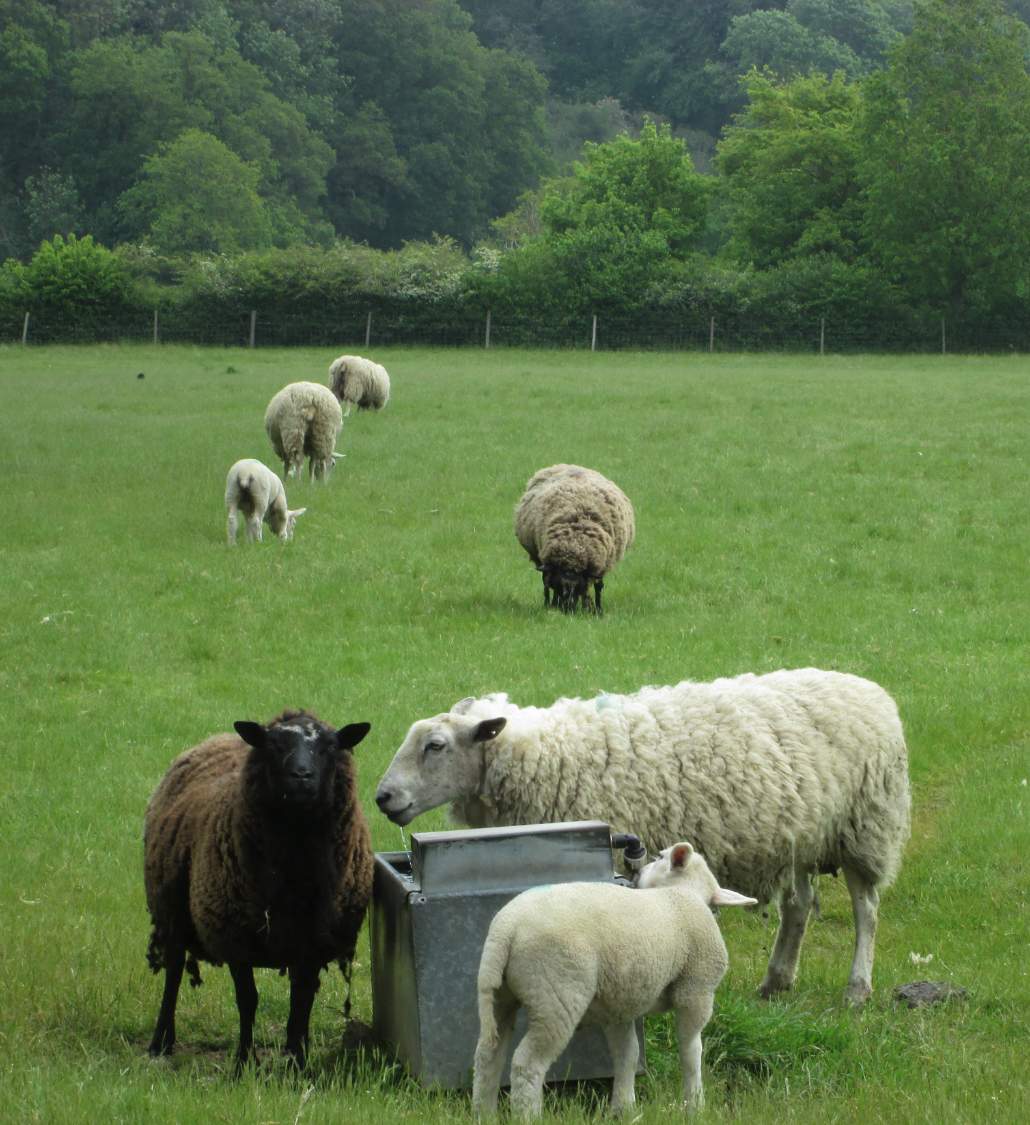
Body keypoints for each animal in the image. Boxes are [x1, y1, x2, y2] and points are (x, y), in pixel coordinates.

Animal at [144, 709, 374, 1069]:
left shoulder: (312, 942)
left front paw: (297, 1063)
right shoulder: (235, 937)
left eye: (330, 747)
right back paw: (160, 1043)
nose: (302, 776)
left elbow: (301, 1001)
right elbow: (247, 1000)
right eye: (275, 745)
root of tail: (216, 738)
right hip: (172, 912)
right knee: (174, 974)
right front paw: (243, 1063)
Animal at [375, 668, 911, 1005]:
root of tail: (871, 689)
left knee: (866, 911)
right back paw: (775, 982)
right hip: (800, 837)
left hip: (865, 829)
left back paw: (857, 988)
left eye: (435, 746)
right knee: (798, 907)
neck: (543, 755)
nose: (383, 797)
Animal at [473, 841, 757, 1118]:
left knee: (488, 1056)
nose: (637, 873)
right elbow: (691, 1051)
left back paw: (484, 1114)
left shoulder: (619, 1003)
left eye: (659, 857)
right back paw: (529, 1116)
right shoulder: (696, 992)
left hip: (500, 994)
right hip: (556, 994)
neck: (682, 893)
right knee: (527, 1064)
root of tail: (506, 929)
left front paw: (623, 1108)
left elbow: (628, 1054)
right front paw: (695, 1105)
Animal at [514, 464, 635, 613]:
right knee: (545, 582)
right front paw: (555, 605)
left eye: (578, 587)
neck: (574, 546)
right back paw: (549, 604)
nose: (568, 610)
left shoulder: (599, 567)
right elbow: (550, 585)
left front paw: (596, 610)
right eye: (559, 586)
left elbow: (598, 587)